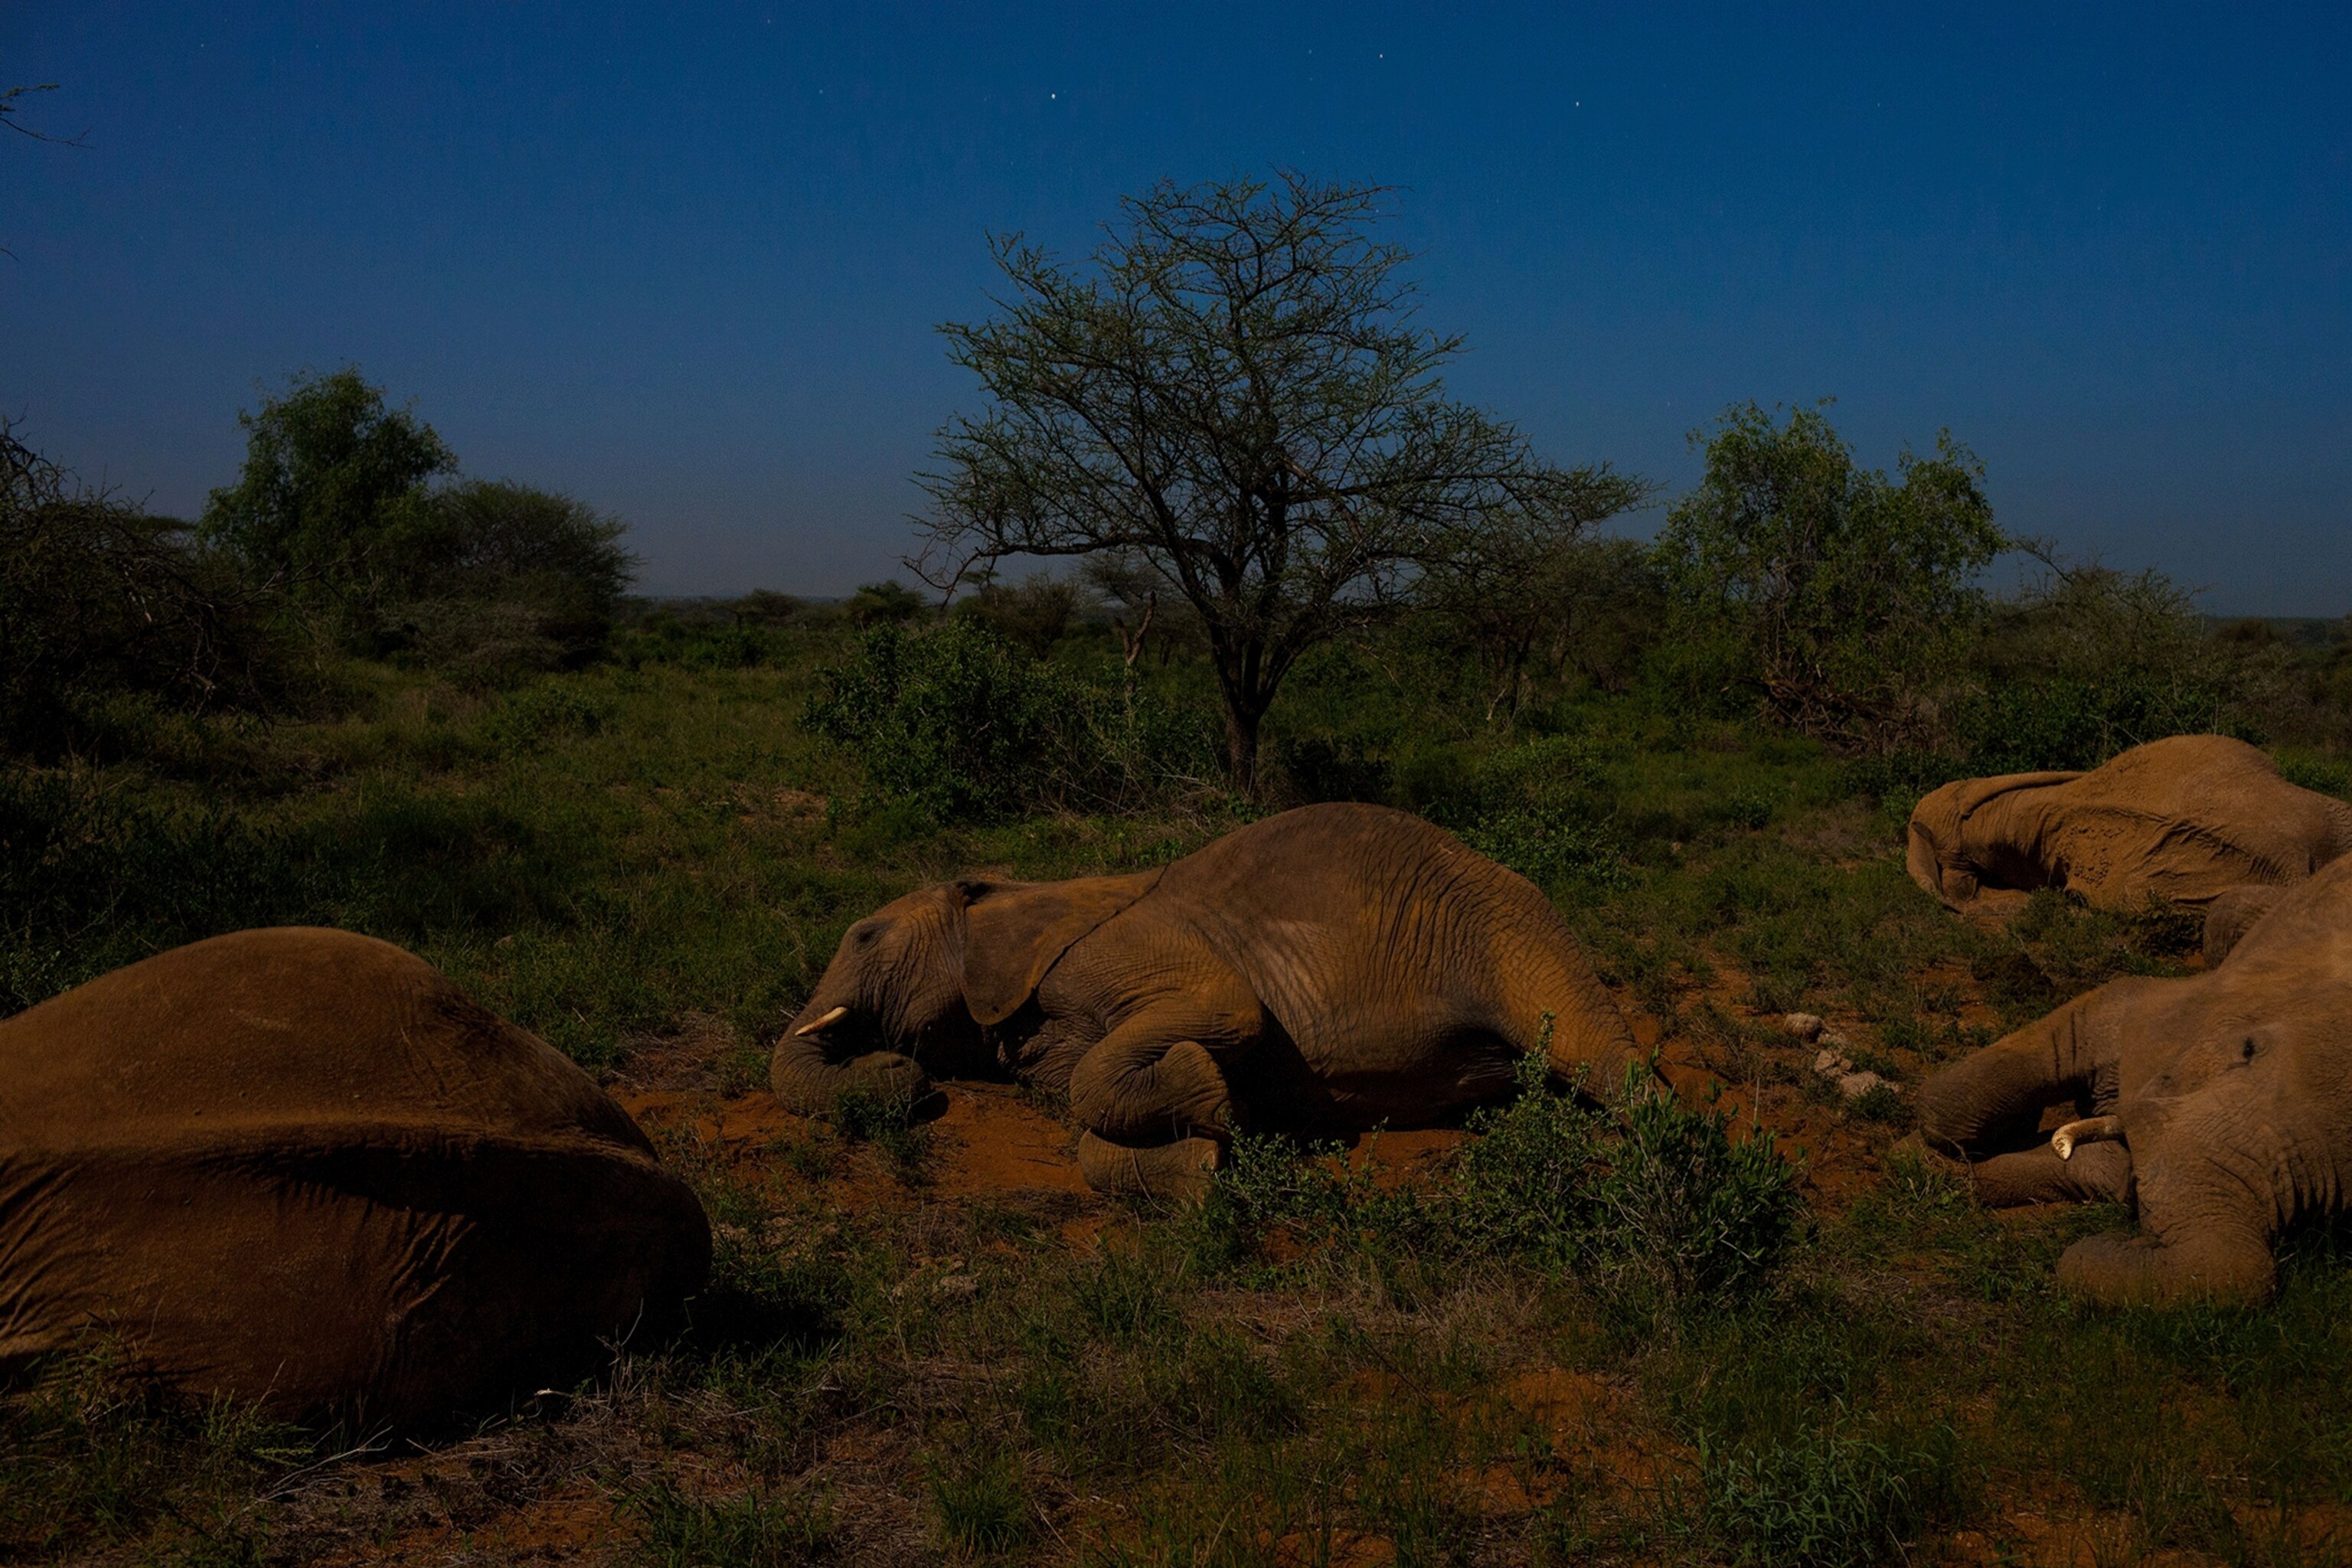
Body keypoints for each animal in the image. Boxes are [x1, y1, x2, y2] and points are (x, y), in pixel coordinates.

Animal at [772, 802, 1649, 1194]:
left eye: (864, 936)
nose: (903, 1076)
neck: (1027, 890)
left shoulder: (1121, 948)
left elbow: (1226, 1012)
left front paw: (1219, 1100)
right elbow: (1089, 1125)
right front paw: (1208, 1152)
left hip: (1514, 932)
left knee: (1607, 1060)